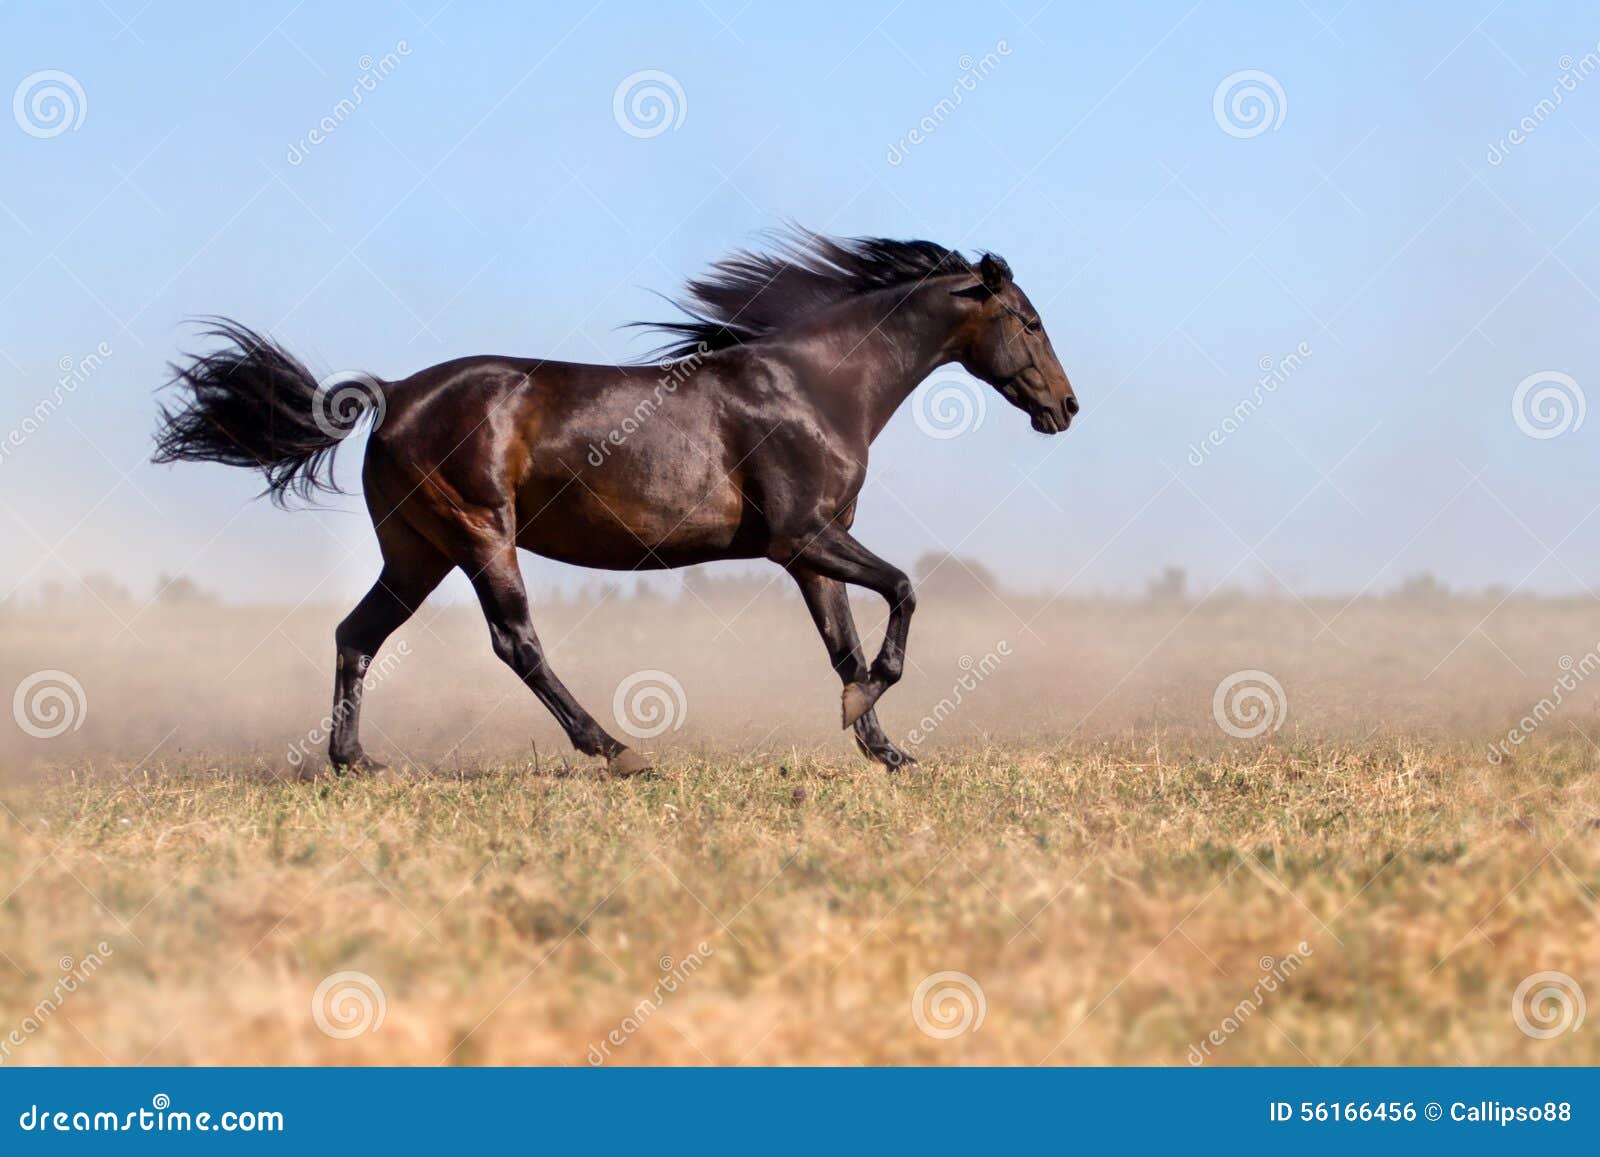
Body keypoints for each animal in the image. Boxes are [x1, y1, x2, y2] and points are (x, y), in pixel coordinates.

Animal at [152, 229, 1078, 775]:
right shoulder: (800, 537)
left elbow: (845, 646)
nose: (1065, 408)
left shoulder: (815, 553)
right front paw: (869, 719)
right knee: (515, 642)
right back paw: (617, 750)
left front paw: (886, 748)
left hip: (418, 552)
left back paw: (357, 762)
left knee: (358, 633)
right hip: (480, 536)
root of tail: (395, 392)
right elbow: (903, 596)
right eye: (1029, 321)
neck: (817, 386)